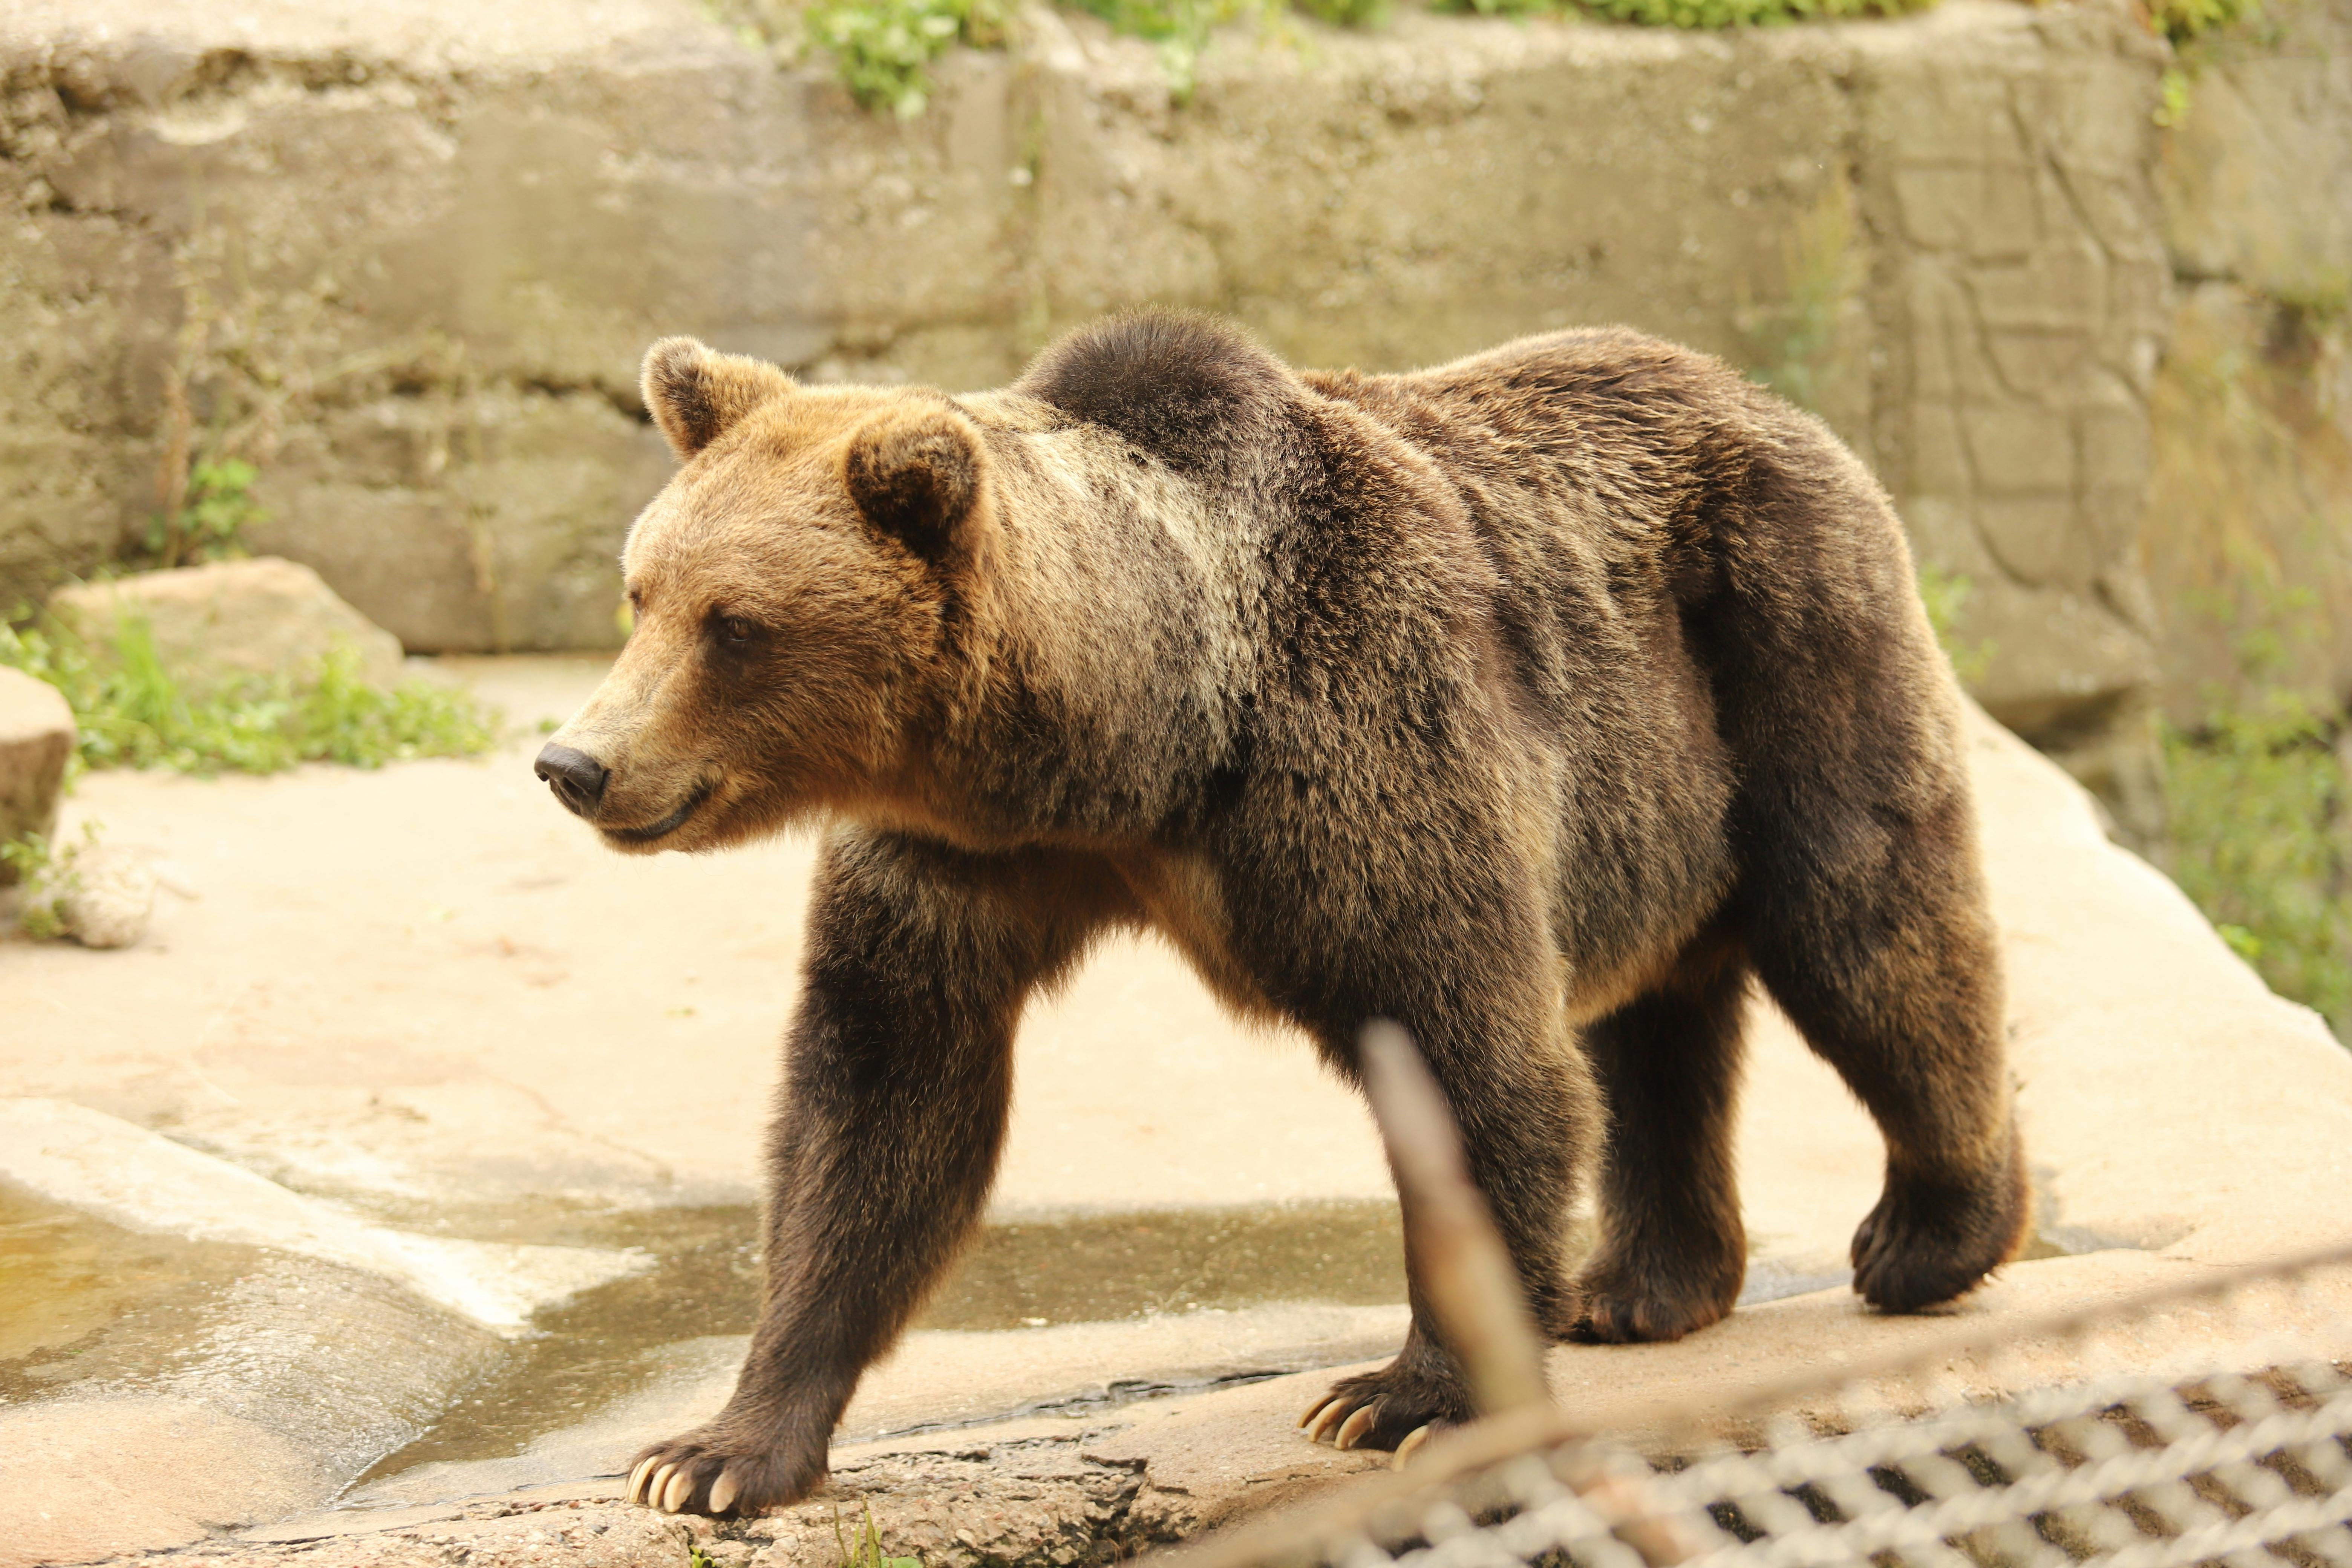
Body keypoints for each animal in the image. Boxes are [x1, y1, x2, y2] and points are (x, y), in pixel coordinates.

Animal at [533, 310, 2029, 1518]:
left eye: (735, 624)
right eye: (641, 591)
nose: (576, 762)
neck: (1133, 751)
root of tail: (1764, 398)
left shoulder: (1370, 750)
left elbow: (1472, 1058)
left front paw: (1396, 1394)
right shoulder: (956, 862)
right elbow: (882, 1102)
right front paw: (715, 1453)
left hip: (1779, 641)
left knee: (1867, 925)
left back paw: (1931, 1232)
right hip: (1644, 803)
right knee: (1654, 1021)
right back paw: (1641, 1283)